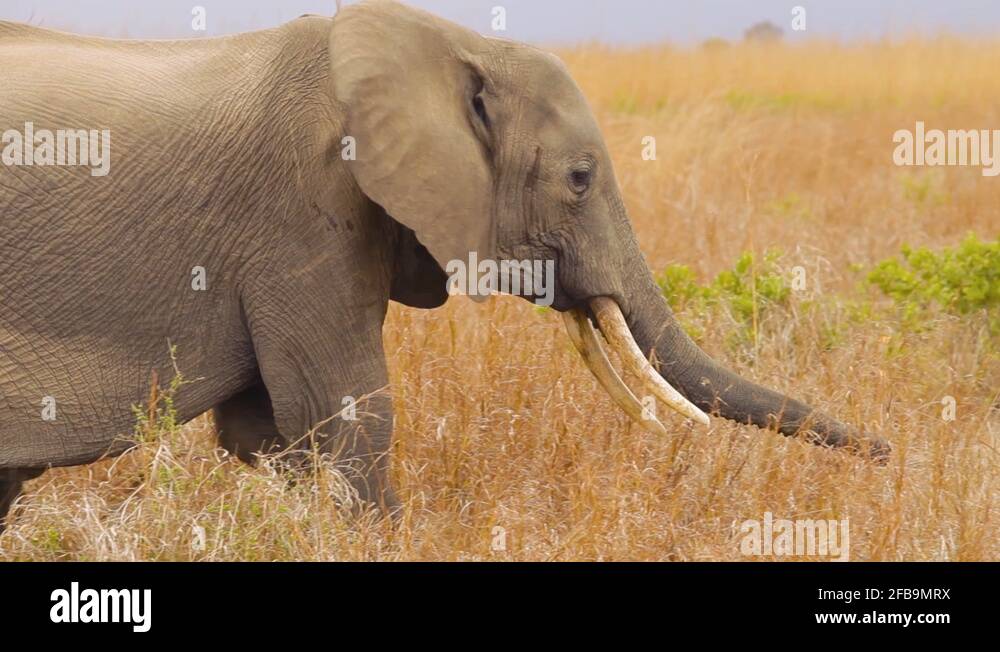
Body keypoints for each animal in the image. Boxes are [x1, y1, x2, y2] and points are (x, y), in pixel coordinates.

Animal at [0, 0, 889, 530]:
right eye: (580, 179)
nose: (888, 454)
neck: (455, 43)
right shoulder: (299, 211)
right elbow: (342, 411)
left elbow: (268, 430)